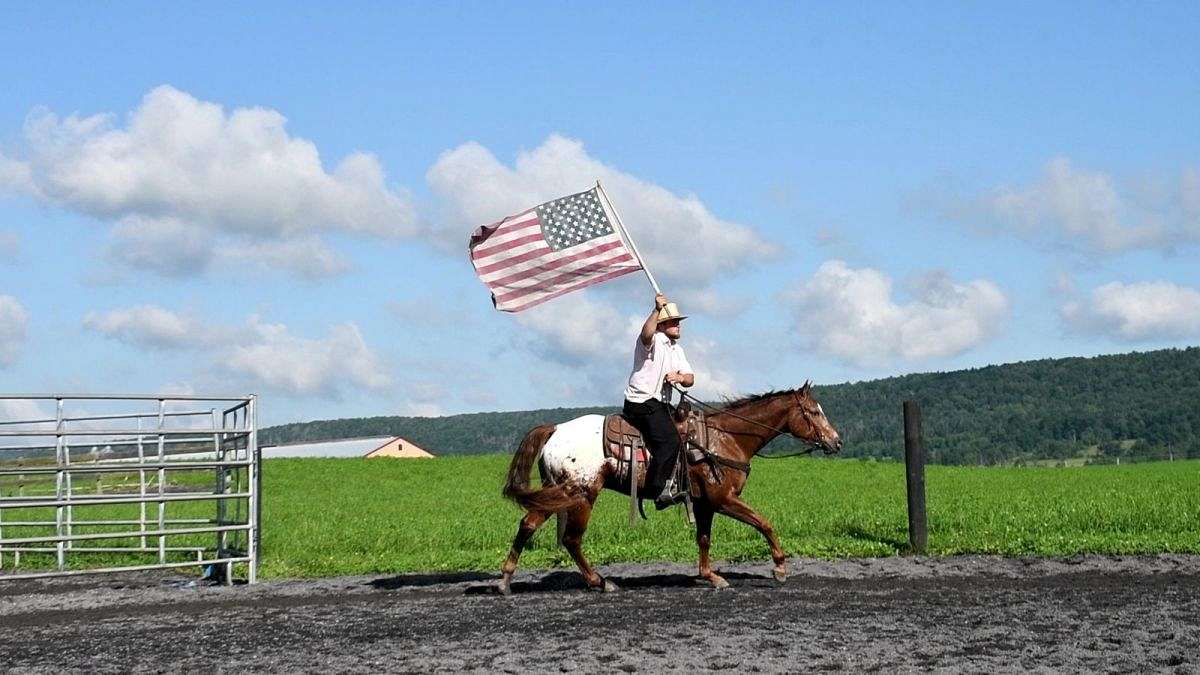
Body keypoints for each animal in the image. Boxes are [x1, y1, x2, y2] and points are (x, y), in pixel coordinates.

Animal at [498, 382, 842, 594]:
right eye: (814, 412)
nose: (836, 442)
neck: (725, 438)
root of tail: (555, 429)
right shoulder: (723, 499)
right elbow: (764, 523)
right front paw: (780, 568)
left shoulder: (704, 504)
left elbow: (703, 539)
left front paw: (710, 576)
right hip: (581, 495)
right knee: (571, 539)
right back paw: (600, 582)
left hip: (556, 492)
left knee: (528, 523)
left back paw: (505, 580)